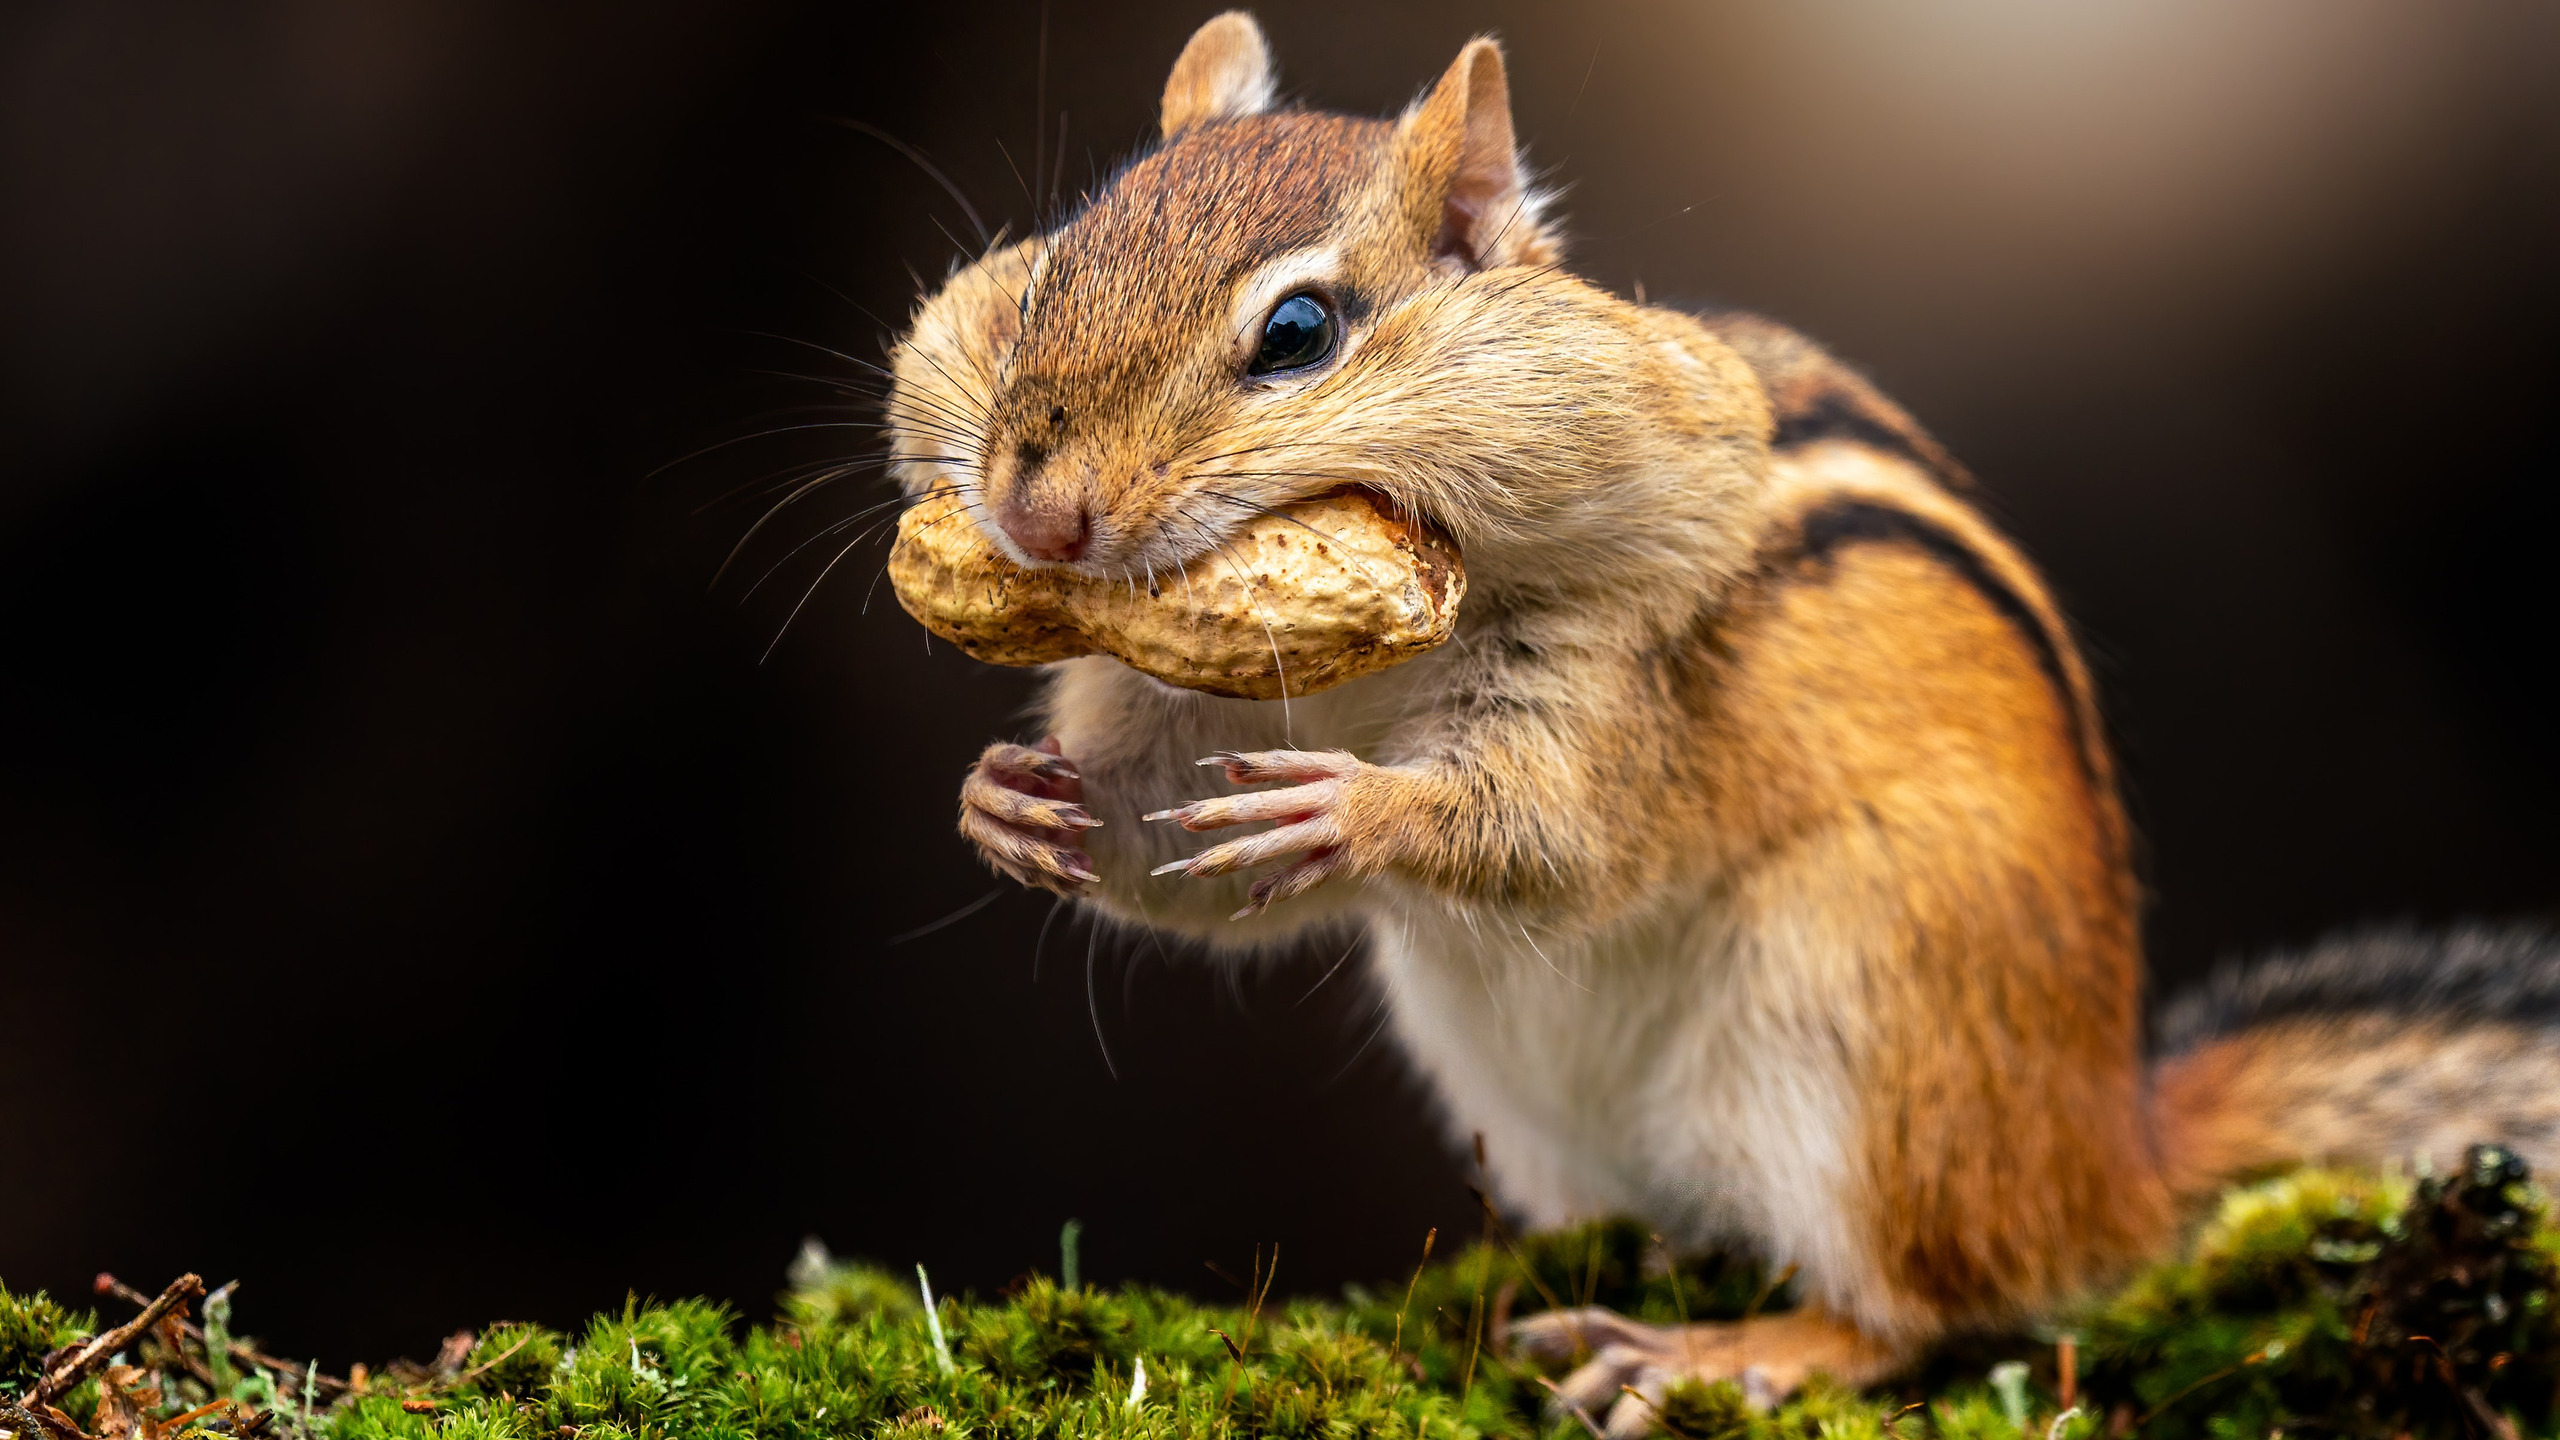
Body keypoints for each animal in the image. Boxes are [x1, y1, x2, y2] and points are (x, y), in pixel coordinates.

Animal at [879, 12, 2560, 1429]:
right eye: (1047, 273)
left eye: (1298, 333)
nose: (1036, 510)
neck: (1367, 661)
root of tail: (2112, 1157)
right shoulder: (1174, 704)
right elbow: (1172, 873)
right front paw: (1003, 797)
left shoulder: (1615, 681)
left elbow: (1554, 836)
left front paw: (1355, 808)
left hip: (1864, 1042)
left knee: (1924, 1313)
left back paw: (1716, 1351)